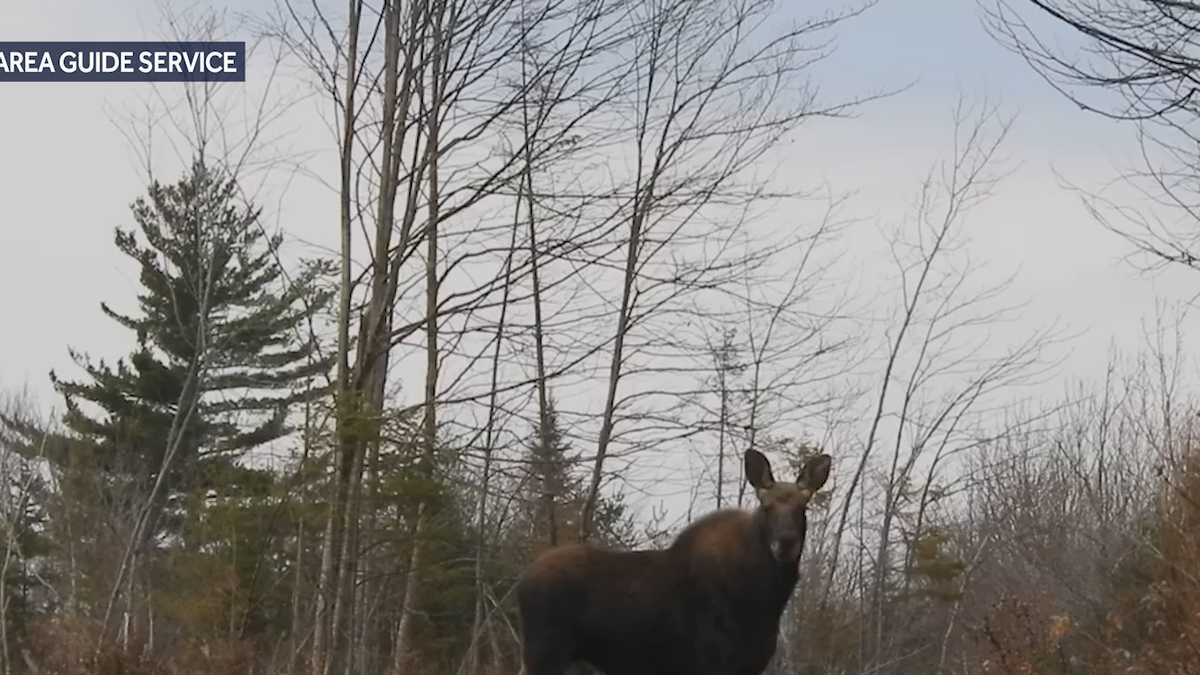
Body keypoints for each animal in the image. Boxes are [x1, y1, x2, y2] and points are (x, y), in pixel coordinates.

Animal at [516, 448, 833, 675]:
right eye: (766, 506)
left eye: (803, 508)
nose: (786, 542)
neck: (766, 600)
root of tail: (522, 581)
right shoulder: (712, 662)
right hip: (545, 651)